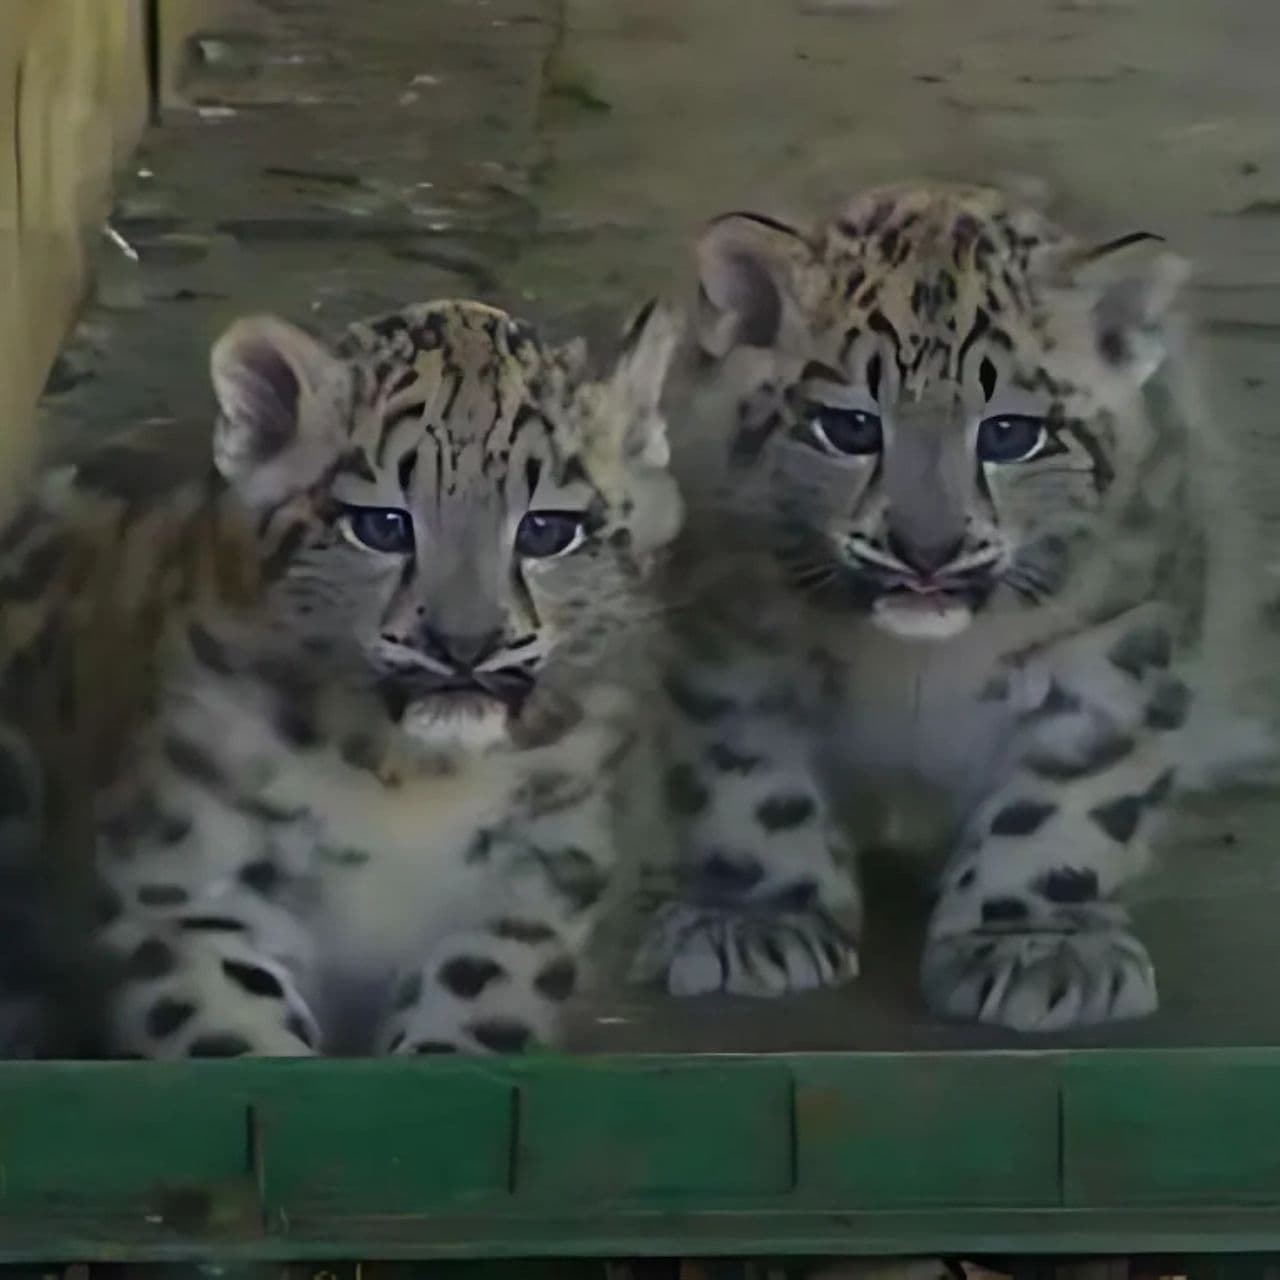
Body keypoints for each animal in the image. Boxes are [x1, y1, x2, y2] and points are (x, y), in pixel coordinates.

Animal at [0, 296, 682, 1057]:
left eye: (545, 531)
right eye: (382, 525)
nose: (465, 646)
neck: (414, 788)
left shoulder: (528, 897)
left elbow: (474, 1007)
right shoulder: (190, 894)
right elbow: (229, 1027)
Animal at [632, 179, 1266, 1032]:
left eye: (1010, 435)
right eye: (849, 426)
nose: (925, 550)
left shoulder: (1116, 647)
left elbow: (1066, 806)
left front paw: (1035, 945)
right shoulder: (733, 643)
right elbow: (751, 787)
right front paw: (754, 922)